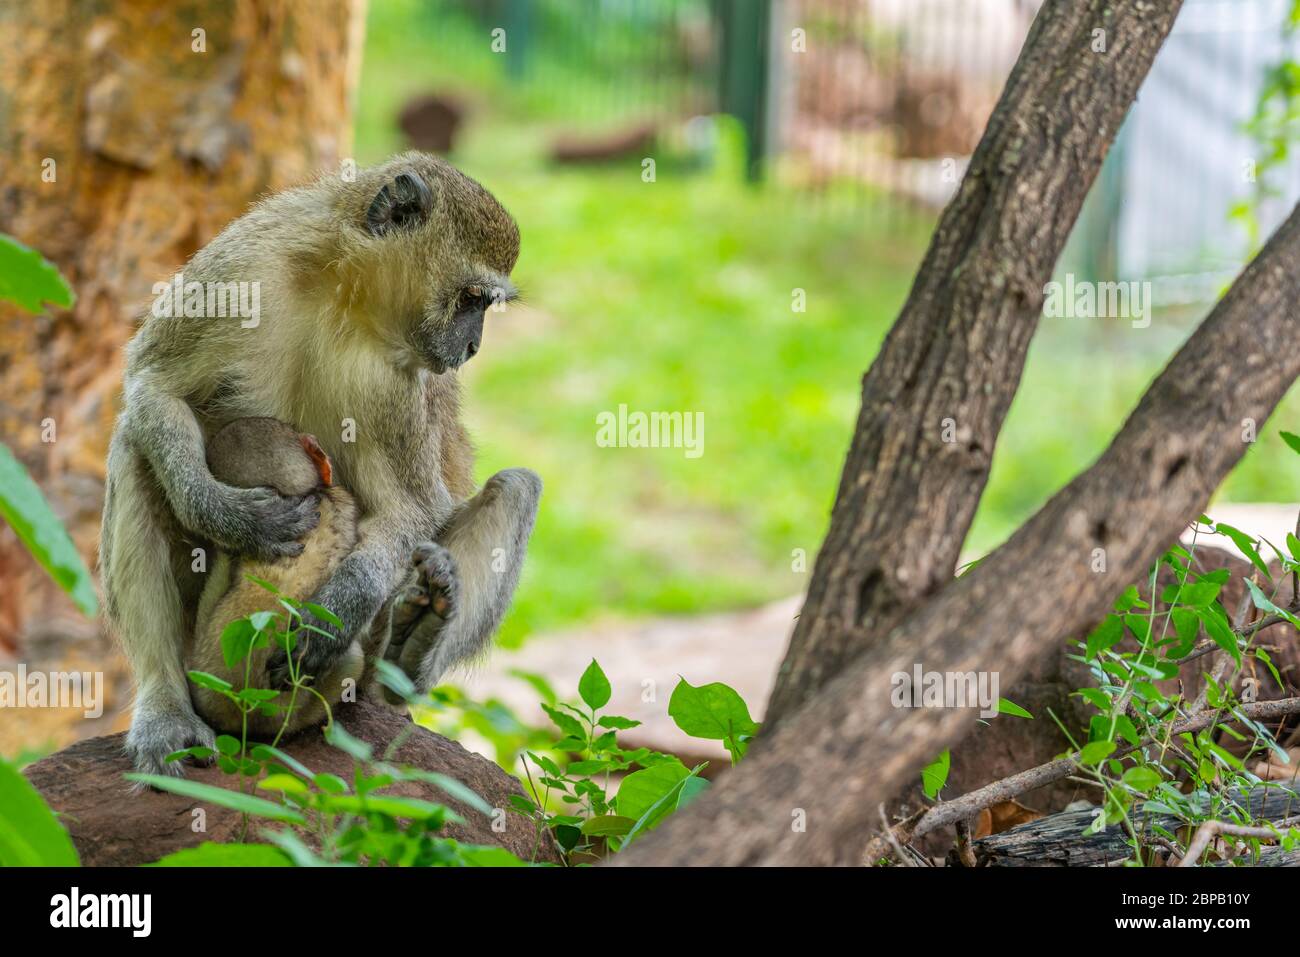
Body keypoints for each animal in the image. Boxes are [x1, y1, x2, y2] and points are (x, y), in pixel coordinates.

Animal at [99, 151, 542, 776]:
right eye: (472, 299)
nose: (474, 346)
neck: (341, 289)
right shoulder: (243, 264)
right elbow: (153, 384)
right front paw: (224, 515)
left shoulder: (397, 381)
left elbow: (412, 508)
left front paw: (339, 607)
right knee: (136, 449)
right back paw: (165, 706)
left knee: (516, 488)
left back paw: (405, 659)